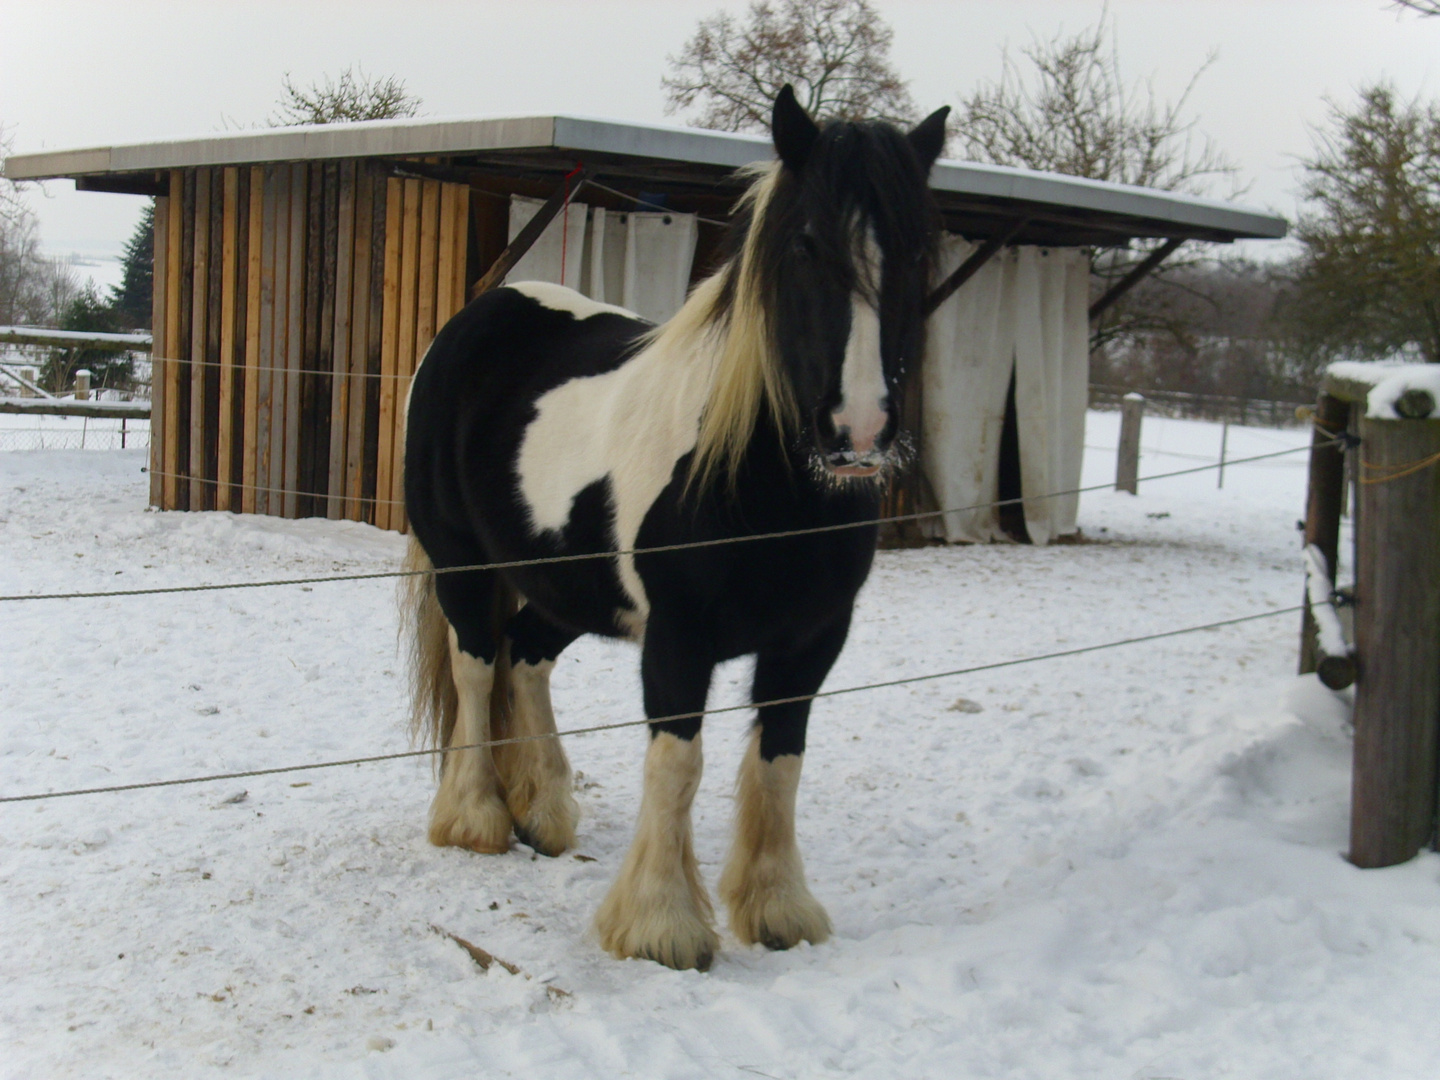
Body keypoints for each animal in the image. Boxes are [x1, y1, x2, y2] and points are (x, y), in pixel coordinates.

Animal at [402, 86, 949, 971]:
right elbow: (677, 764)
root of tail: (479, 314)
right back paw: (476, 817)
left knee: (525, 659)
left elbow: (779, 764)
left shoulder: (812, 639)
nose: (859, 431)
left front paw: (778, 910)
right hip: (463, 568)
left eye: (916, 248)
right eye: (803, 244)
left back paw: (542, 811)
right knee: (478, 668)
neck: (753, 482)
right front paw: (663, 925)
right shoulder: (678, 638)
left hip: (567, 590)